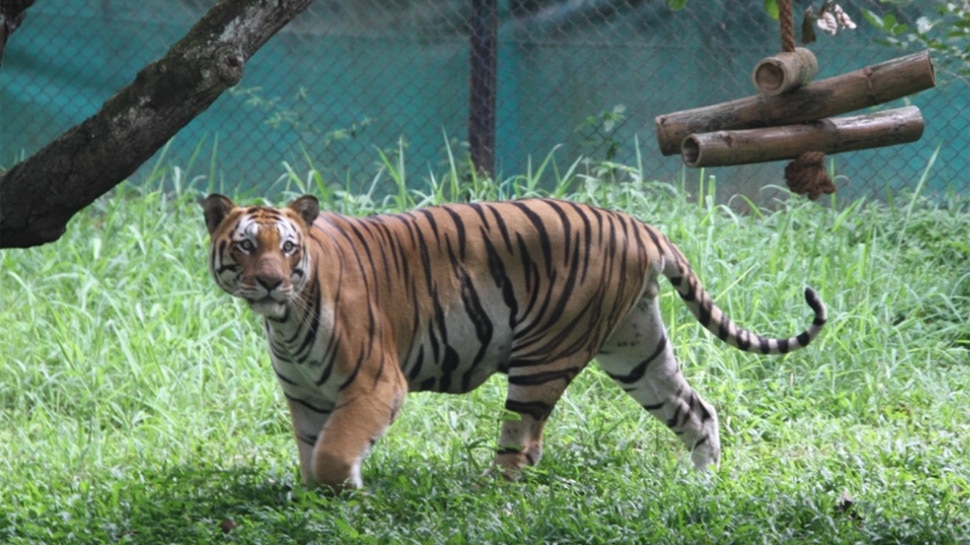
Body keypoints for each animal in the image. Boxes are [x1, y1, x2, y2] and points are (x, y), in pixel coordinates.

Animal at [201, 194, 826, 491]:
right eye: (245, 245)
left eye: (287, 247)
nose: (270, 282)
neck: (285, 320)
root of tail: (642, 226)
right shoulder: (306, 398)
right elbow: (313, 457)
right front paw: (324, 502)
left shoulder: (377, 384)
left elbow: (333, 454)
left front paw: (349, 495)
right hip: (635, 349)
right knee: (697, 410)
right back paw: (703, 482)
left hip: (546, 355)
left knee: (521, 445)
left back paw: (486, 492)